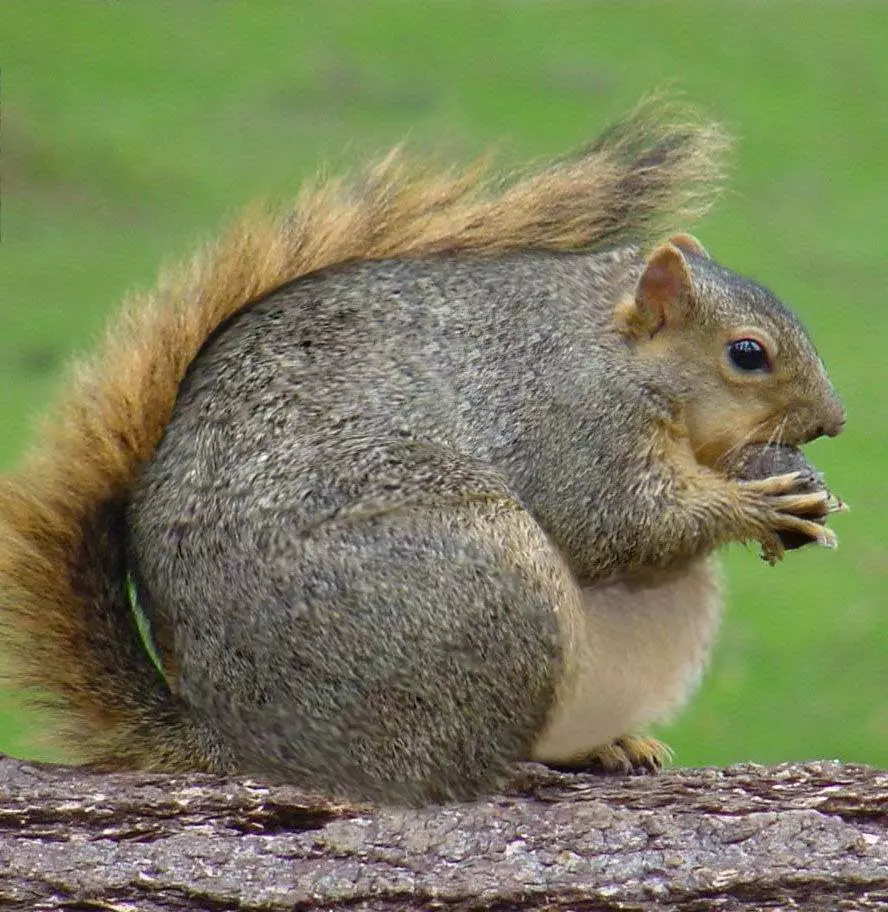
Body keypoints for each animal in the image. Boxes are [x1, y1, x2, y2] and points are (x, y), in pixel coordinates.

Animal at [0, 101, 848, 804]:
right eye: (747, 354)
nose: (834, 421)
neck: (610, 342)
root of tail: (236, 737)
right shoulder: (574, 422)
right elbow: (620, 522)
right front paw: (752, 503)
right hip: (480, 585)